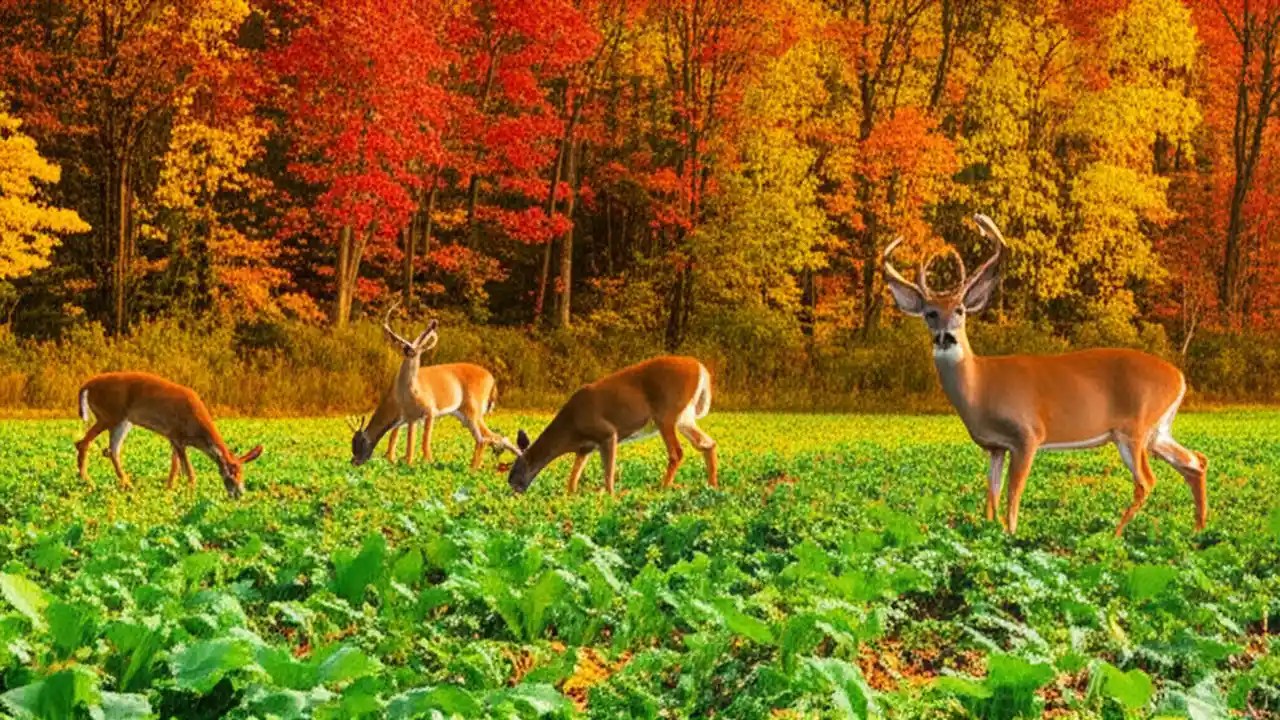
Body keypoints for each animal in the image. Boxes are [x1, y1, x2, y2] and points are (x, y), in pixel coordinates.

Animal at [74, 372, 263, 498]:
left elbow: (175, 467)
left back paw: (127, 485)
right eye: (232, 472)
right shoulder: (178, 436)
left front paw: (169, 490)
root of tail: (86, 386)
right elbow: (188, 470)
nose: (240, 494)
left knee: (112, 450)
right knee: (83, 443)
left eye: (242, 472)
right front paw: (191, 492)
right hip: (109, 415)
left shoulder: (173, 437)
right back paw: (88, 482)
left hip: (123, 420)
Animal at [348, 302, 515, 469]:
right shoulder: (409, 418)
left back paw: (475, 468)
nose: (354, 462)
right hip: (465, 415)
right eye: (353, 443)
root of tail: (492, 379)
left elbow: (423, 443)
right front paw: (398, 462)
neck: (397, 396)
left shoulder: (429, 411)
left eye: (360, 443)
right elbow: (405, 445)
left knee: (484, 438)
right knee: (494, 437)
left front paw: (426, 464)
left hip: (473, 410)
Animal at [507, 355, 717, 495]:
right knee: (707, 444)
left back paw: (662, 488)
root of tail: (702, 369)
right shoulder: (585, 447)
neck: (570, 430)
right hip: (684, 417)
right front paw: (570, 495)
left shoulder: (607, 432)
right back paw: (713, 486)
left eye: (515, 469)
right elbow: (574, 474)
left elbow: (608, 470)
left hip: (666, 413)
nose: (513, 487)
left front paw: (610, 496)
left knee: (677, 452)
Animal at [882, 214, 1209, 537]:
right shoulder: (995, 447)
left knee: (1147, 481)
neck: (979, 387)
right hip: (1158, 430)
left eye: (960, 310)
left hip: (1133, 429)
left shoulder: (1028, 434)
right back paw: (1198, 530)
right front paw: (989, 532)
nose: (946, 337)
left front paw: (1011, 537)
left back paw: (1113, 536)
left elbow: (1012, 499)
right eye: (930, 313)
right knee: (1196, 461)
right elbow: (991, 500)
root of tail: (1179, 377)